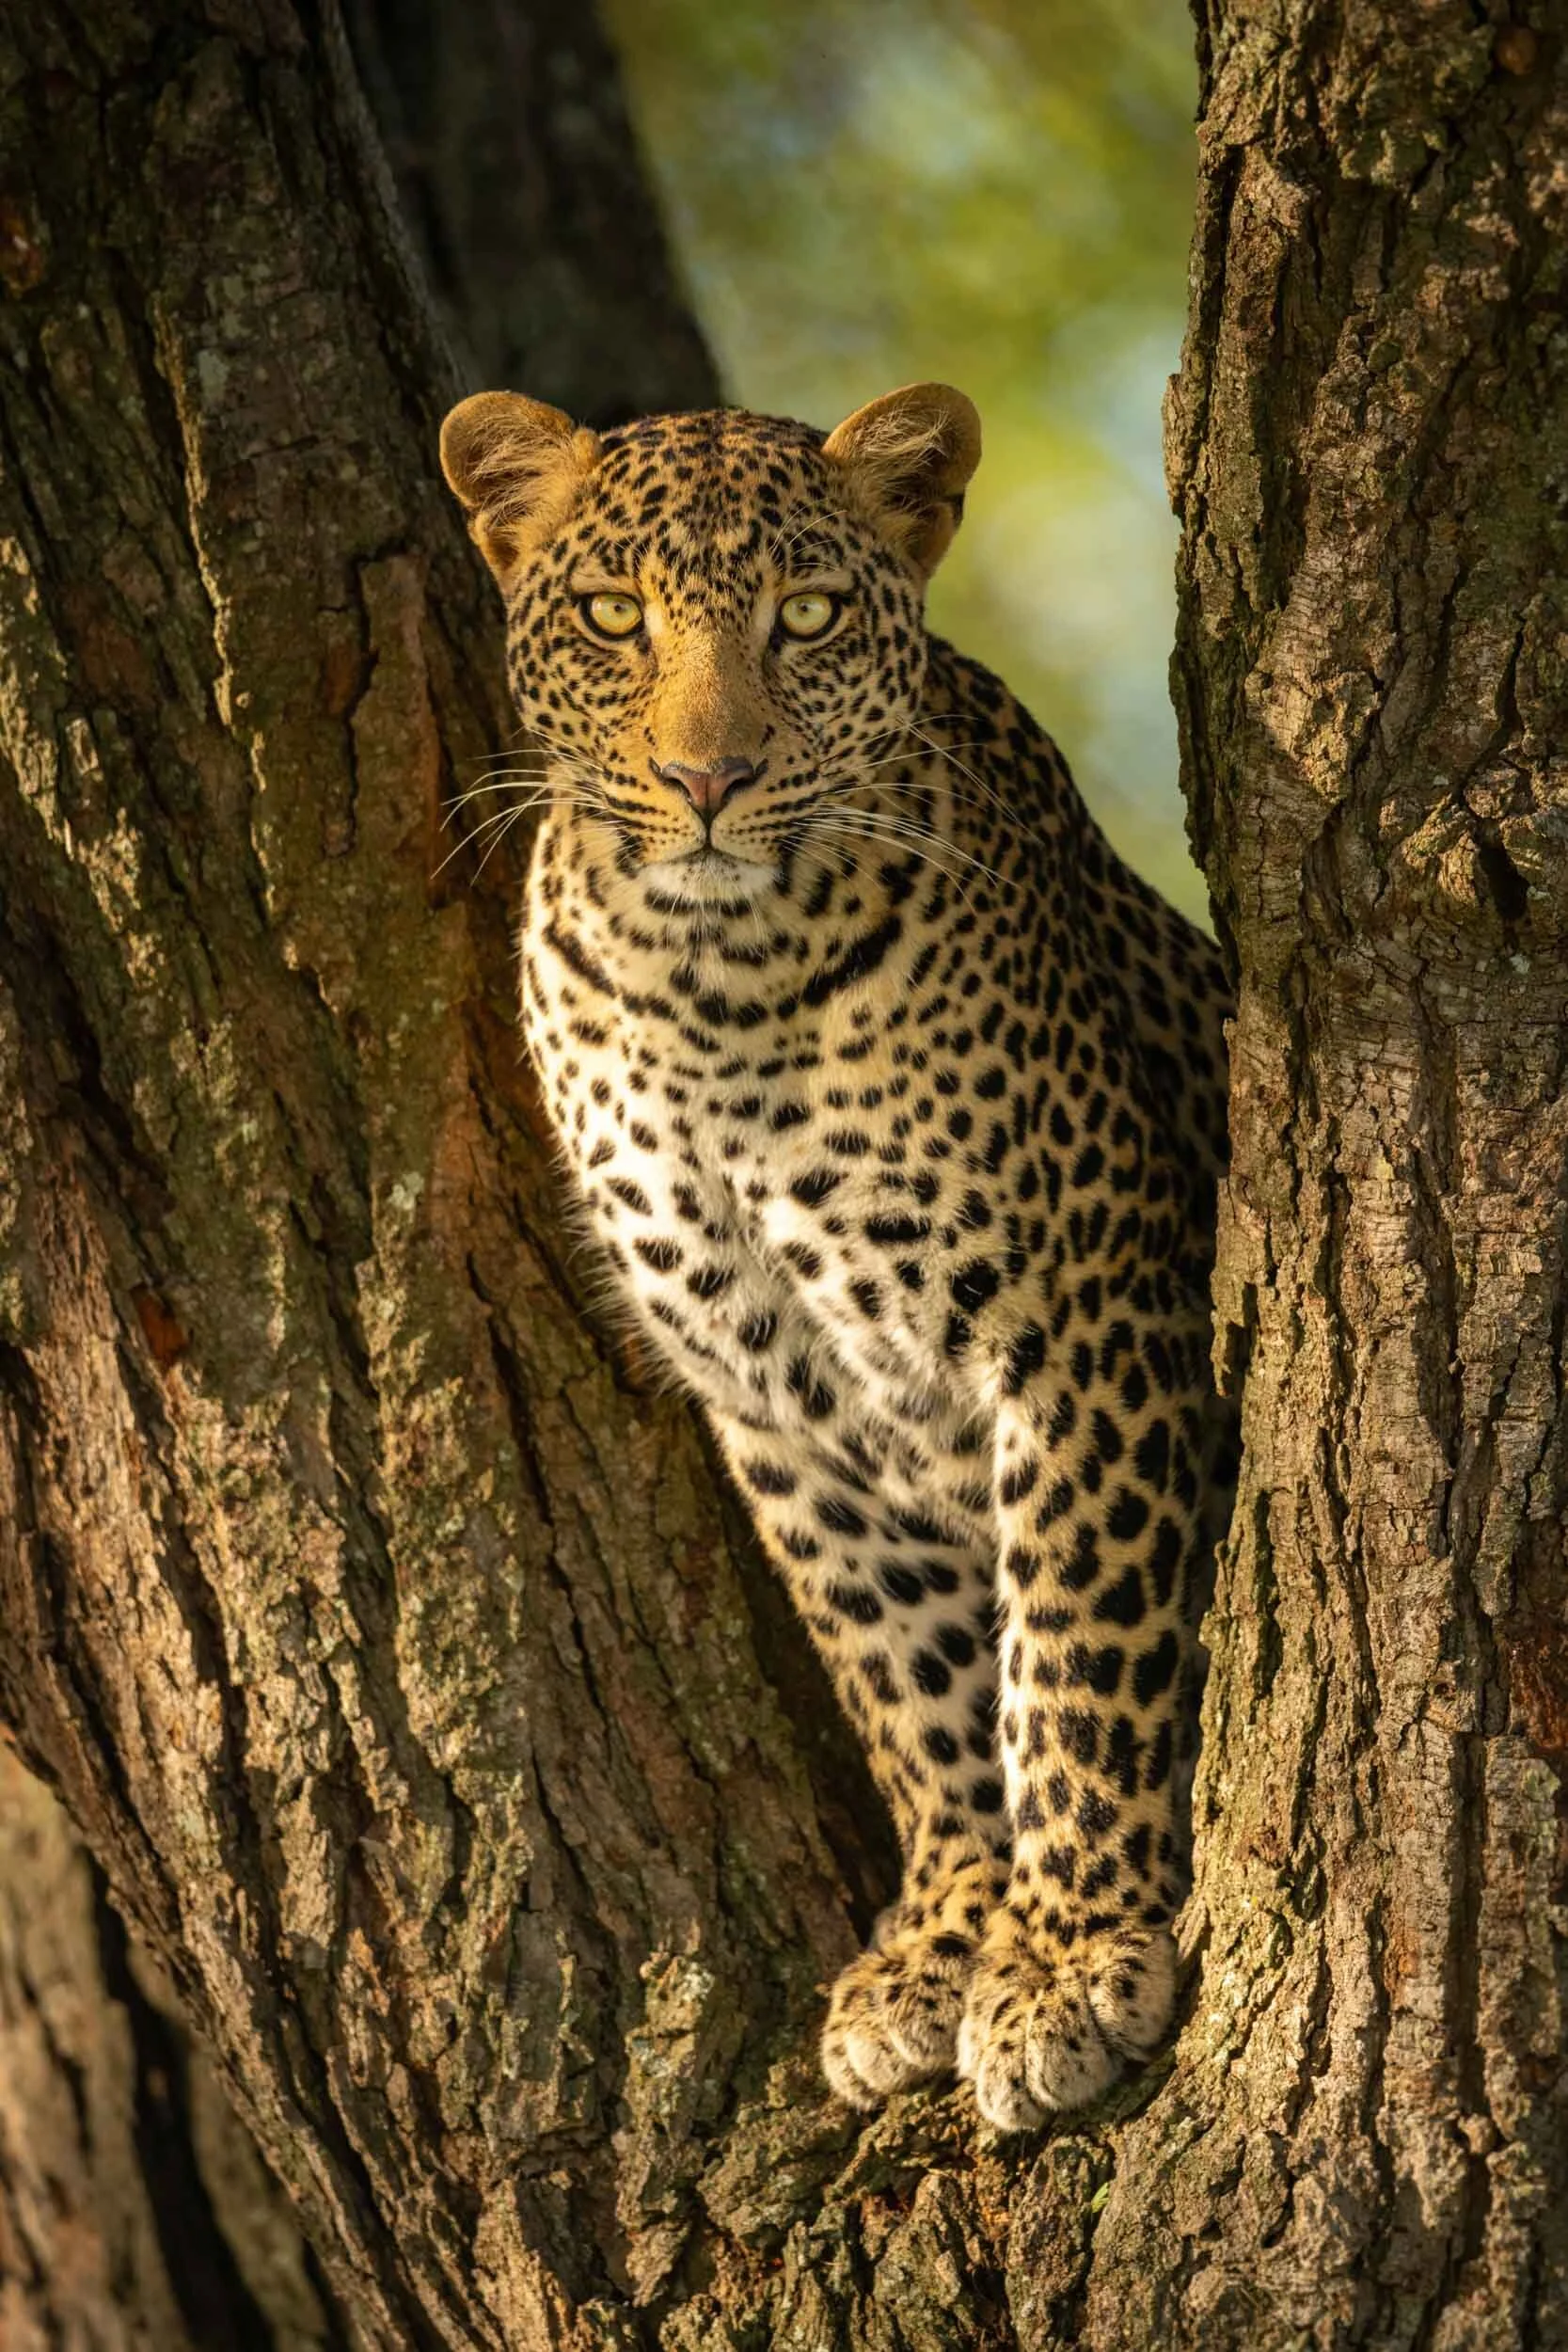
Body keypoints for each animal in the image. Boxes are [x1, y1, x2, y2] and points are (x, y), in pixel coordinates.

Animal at [440, 380, 1232, 2132]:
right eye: (614, 618)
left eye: (801, 620)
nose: (708, 777)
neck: (715, 980)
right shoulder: (774, 1396)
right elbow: (907, 1678)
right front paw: (943, 1941)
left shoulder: (1080, 1317)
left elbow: (1070, 1648)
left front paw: (1065, 1952)